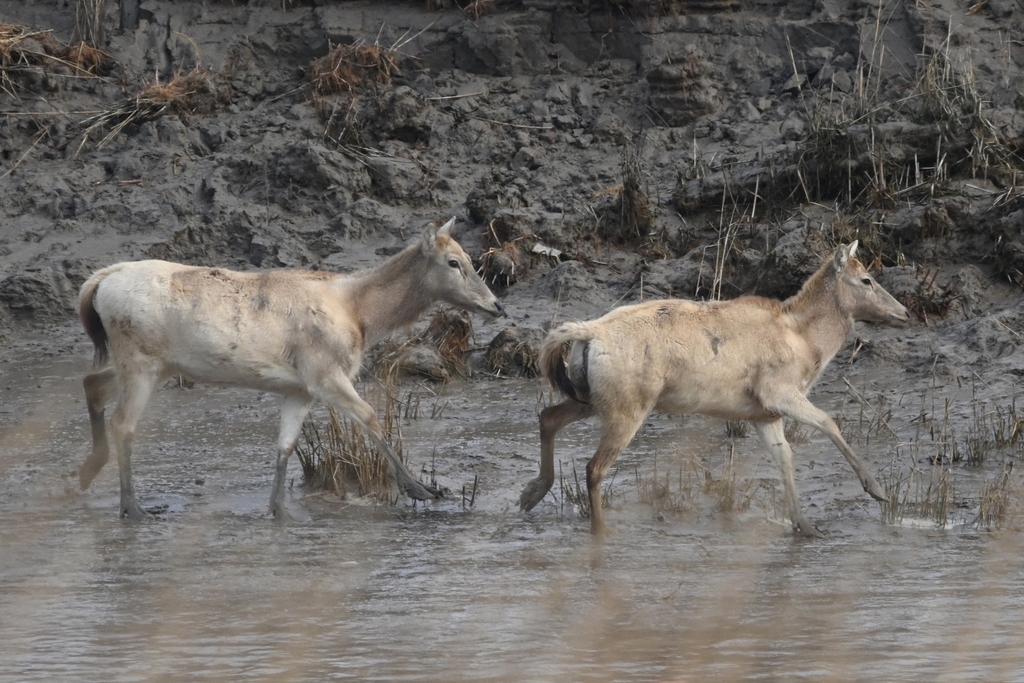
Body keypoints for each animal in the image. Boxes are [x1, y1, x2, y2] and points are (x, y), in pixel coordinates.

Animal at [77, 217, 505, 520]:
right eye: (454, 262)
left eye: (471, 260)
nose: (497, 305)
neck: (359, 315)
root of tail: (99, 281)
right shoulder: (325, 373)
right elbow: (371, 416)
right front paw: (421, 489)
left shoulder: (299, 389)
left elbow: (285, 445)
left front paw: (279, 510)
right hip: (139, 359)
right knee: (123, 423)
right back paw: (132, 508)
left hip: (153, 363)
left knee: (91, 382)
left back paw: (86, 473)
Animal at [519, 241, 909, 537]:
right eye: (867, 279)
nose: (904, 313)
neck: (806, 344)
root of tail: (587, 332)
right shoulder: (778, 391)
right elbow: (829, 421)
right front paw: (877, 491)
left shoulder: (763, 413)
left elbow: (784, 457)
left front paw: (805, 526)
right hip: (628, 404)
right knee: (594, 467)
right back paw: (600, 531)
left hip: (588, 395)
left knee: (547, 416)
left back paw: (530, 494)